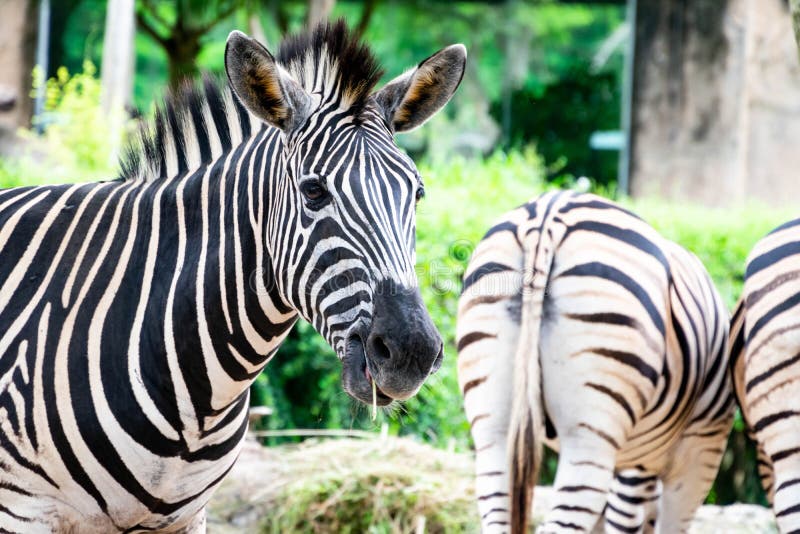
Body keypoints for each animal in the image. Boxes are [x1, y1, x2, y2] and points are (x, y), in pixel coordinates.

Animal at [0, 21, 465, 533]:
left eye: (417, 194)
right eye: (313, 191)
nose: (411, 352)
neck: (198, 400)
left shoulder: (187, 517)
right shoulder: (25, 509)